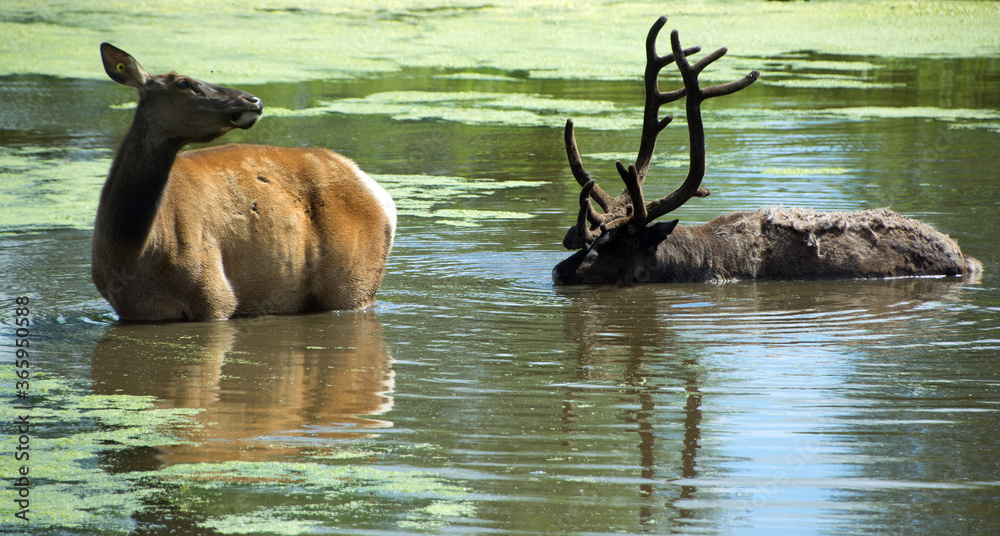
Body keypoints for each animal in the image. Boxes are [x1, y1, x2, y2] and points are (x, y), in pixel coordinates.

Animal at [92, 44, 396, 321]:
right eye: (184, 83)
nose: (252, 100)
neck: (131, 252)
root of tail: (381, 195)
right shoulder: (130, 310)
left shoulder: (215, 293)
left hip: (353, 282)